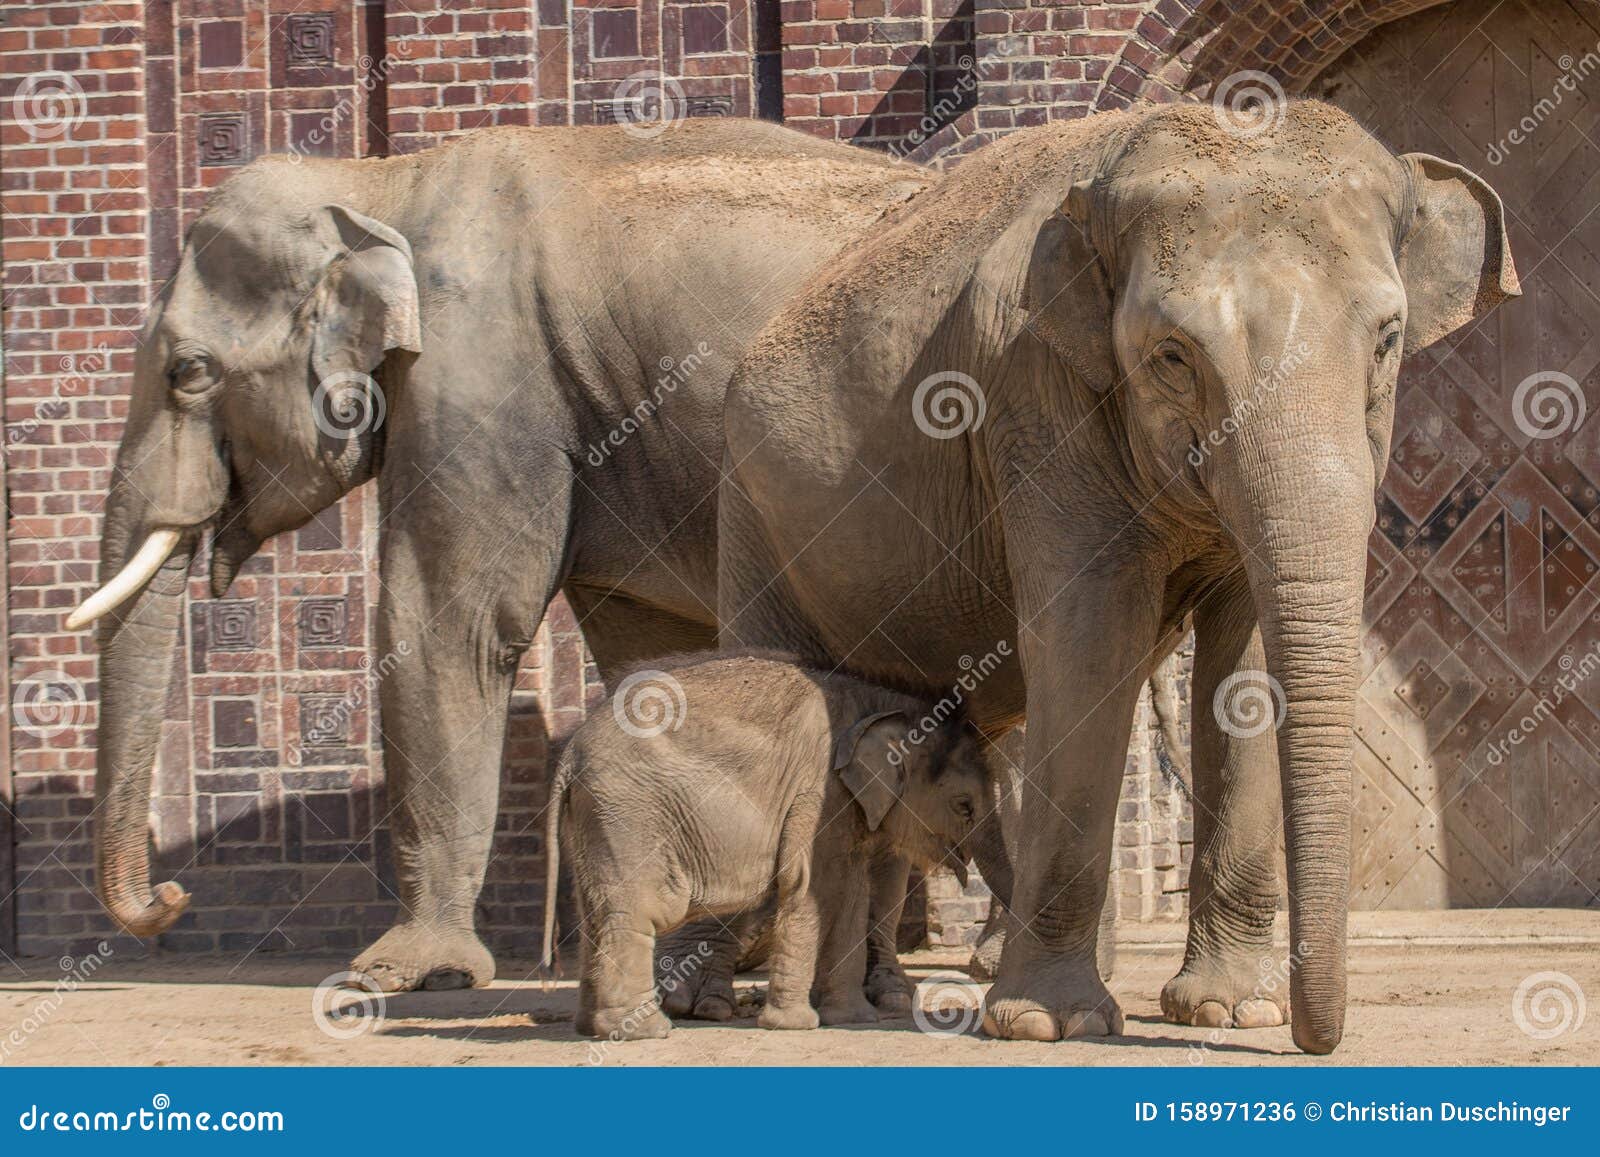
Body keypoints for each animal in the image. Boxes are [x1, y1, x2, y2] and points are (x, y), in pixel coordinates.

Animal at [67, 119, 934, 993]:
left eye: (189, 371)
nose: (169, 897)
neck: (381, 186)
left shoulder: (479, 385)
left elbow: (453, 627)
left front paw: (404, 972)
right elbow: (653, 653)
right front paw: (678, 962)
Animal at [541, 651, 987, 1038]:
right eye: (964, 806)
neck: (883, 701)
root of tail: (569, 754)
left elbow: (851, 897)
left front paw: (854, 1020)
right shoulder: (818, 791)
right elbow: (811, 887)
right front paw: (795, 1026)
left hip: (599, 820)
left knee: (594, 914)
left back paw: (594, 1028)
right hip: (629, 816)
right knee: (638, 910)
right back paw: (645, 1031)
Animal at [713, 99, 1518, 1054]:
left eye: (1389, 340)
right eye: (1172, 355)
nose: (1315, 1037)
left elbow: (1244, 660)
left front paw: (1230, 1009)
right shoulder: (1033, 392)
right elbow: (1088, 639)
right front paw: (1045, 1024)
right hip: (749, 521)